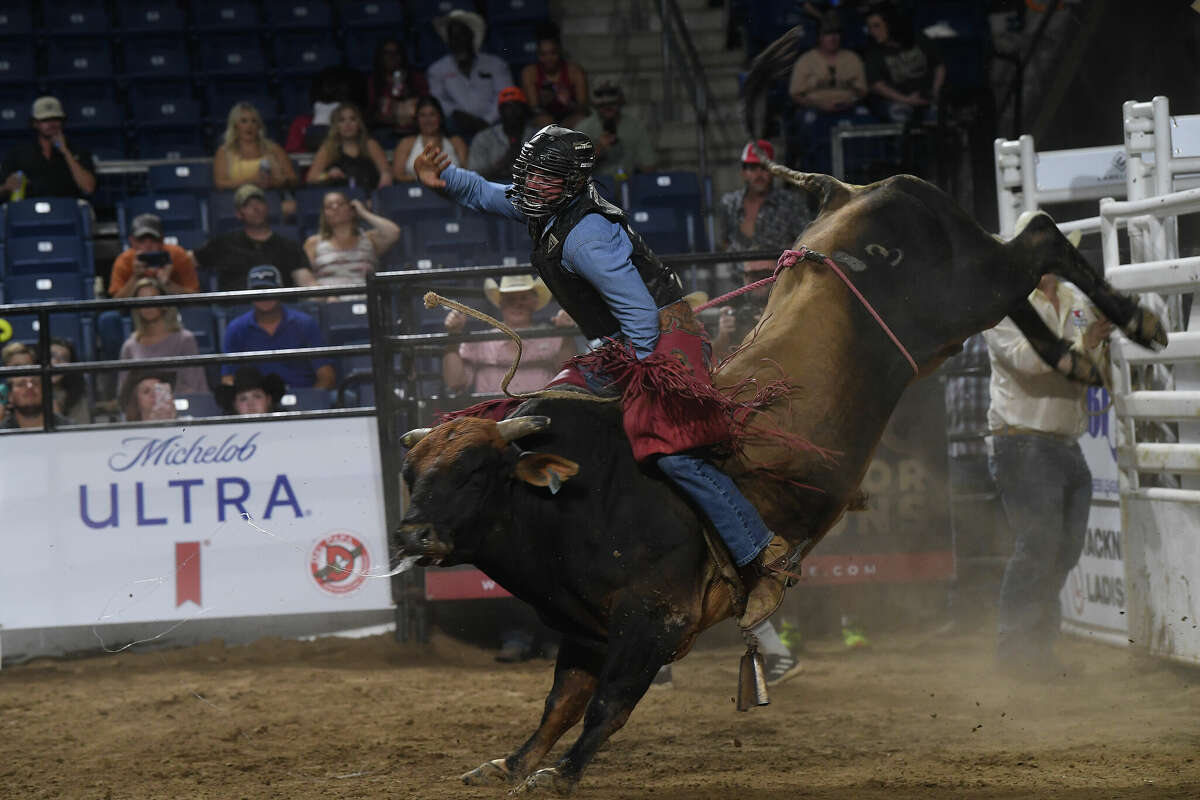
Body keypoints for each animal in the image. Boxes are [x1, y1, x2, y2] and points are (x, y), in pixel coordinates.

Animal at [394, 27, 1168, 796]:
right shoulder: (583, 631)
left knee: (1039, 237)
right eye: (411, 474)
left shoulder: (654, 620)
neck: (577, 494)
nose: (410, 534)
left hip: (967, 283)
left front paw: (557, 774)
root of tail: (854, 188)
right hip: (955, 317)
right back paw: (1074, 357)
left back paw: (1138, 320)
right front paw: (511, 761)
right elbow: (559, 702)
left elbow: (606, 706)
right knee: (1026, 281)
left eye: (475, 471)